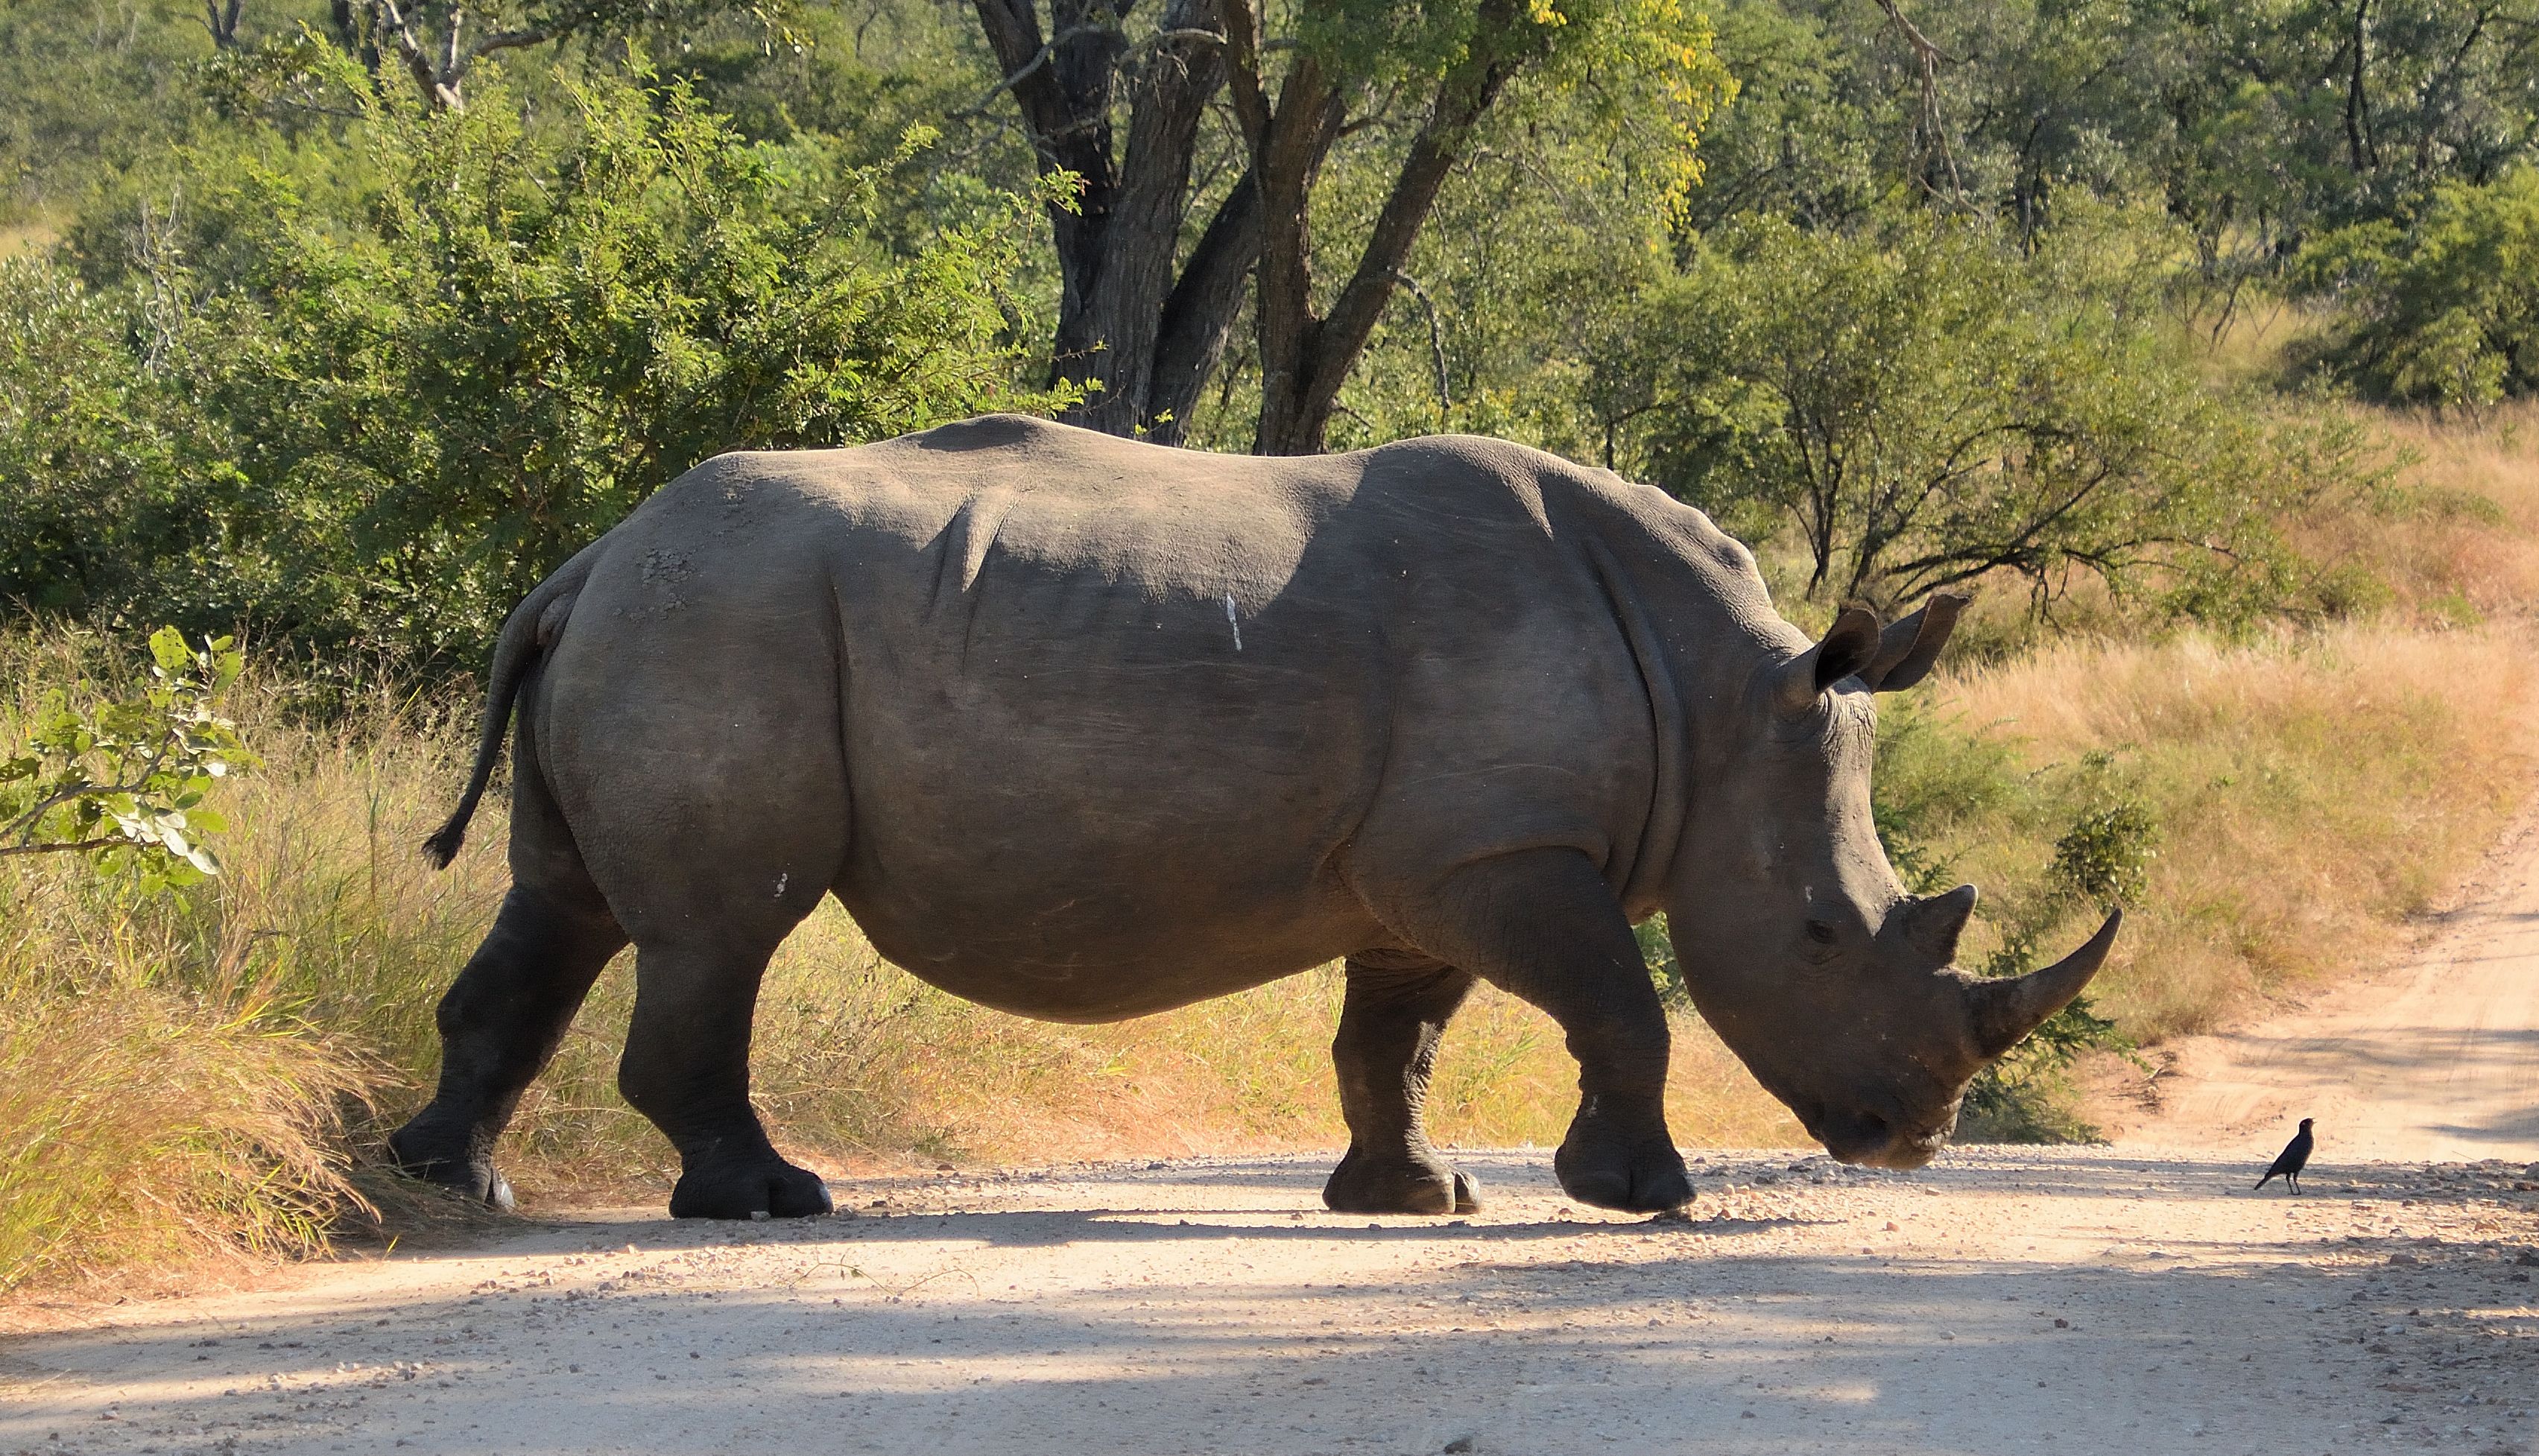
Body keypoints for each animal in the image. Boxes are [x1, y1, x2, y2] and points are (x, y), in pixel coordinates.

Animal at [388, 414, 2117, 1220]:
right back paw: (769, 1199)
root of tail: (590, 556)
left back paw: (452, 1186)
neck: (1717, 698)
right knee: (720, 927)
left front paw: (1415, 1197)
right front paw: (1641, 1194)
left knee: (562, 903)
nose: (1914, 1139)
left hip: (657, 621)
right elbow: (1624, 1008)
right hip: (717, 621)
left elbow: (1391, 1038)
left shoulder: (1430, 863)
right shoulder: (1499, 848)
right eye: (1822, 934)